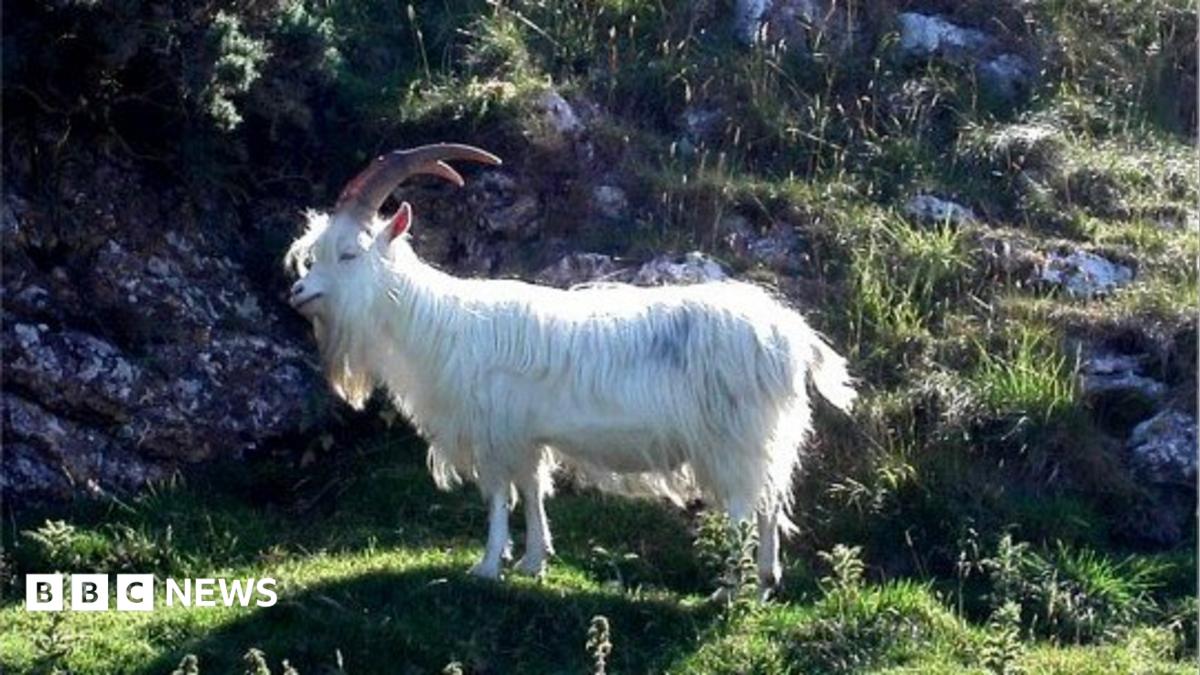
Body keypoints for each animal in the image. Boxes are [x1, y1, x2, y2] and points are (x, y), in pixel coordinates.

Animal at [285, 144, 856, 590]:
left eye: (350, 253)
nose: (297, 293)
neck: (438, 322)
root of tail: (793, 337)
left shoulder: (495, 430)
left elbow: (500, 496)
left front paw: (487, 567)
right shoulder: (527, 435)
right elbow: (533, 490)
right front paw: (534, 562)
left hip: (735, 439)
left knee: (743, 509)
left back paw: (730, 589)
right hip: (763, 439)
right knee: (768, 504)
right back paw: (763, 583)